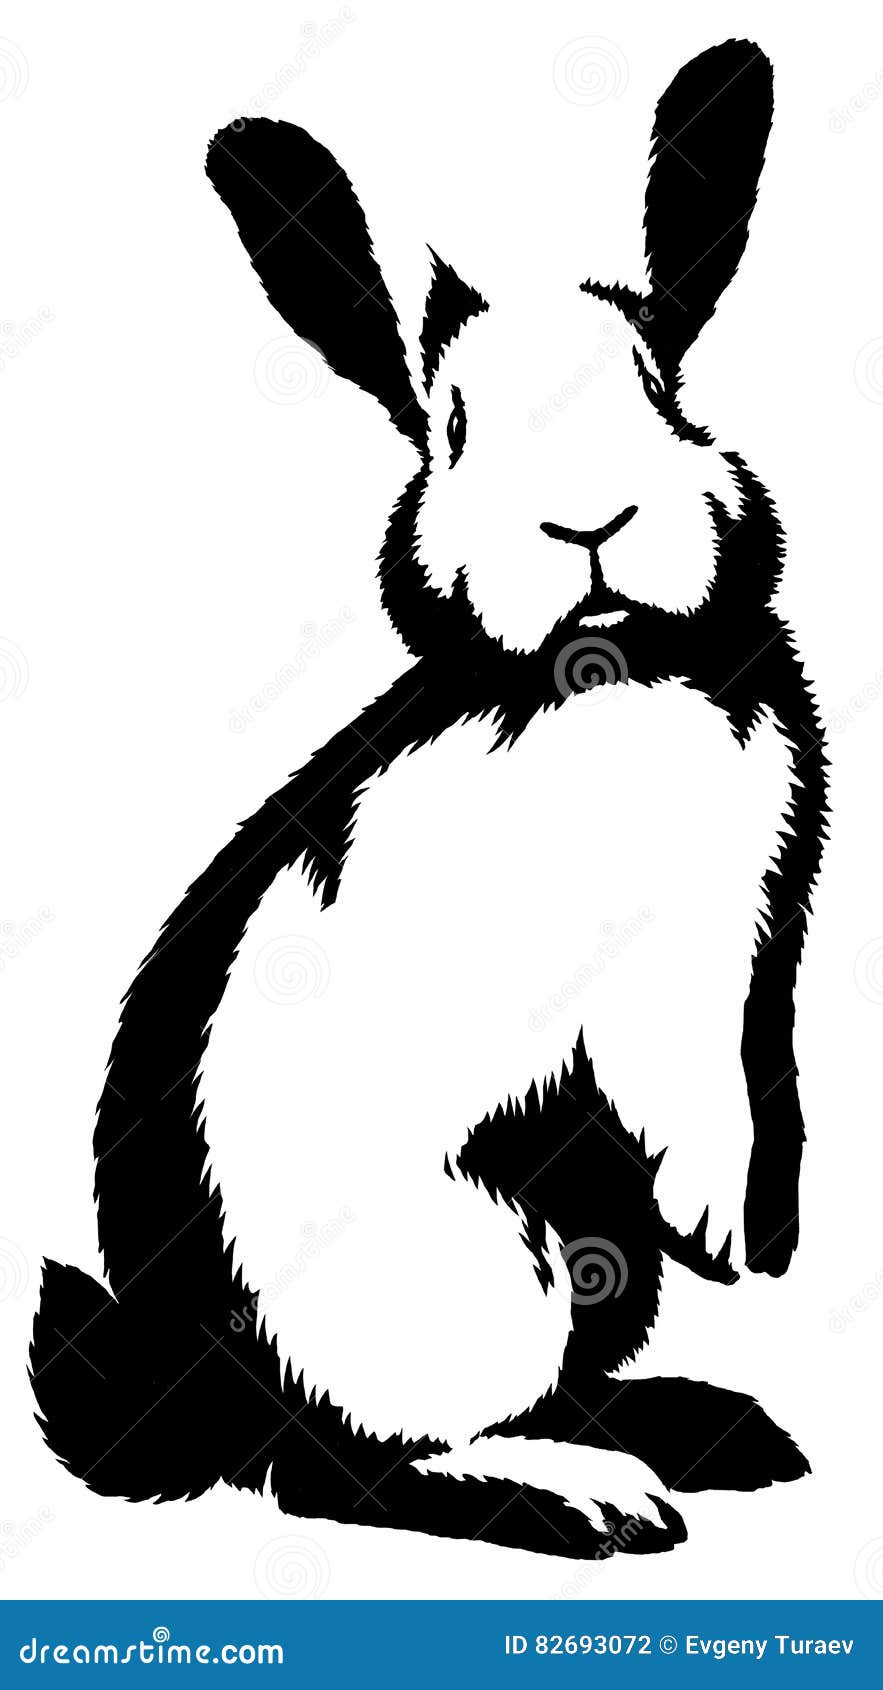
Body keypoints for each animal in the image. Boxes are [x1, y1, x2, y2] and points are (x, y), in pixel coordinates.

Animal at [31, 38, 827, 1561]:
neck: (605, 674)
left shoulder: (741, 932)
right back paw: (584, 1495)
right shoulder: (624, 969)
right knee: (346, 1467)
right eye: (449, 432)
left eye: (661, 391)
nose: (587, 522)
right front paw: (726, 1225)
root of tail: (208, 1389)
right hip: (476, 1265)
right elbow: (661, 1062)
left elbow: (742, 1069)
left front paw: (742, 1225)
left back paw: (703, 1430)